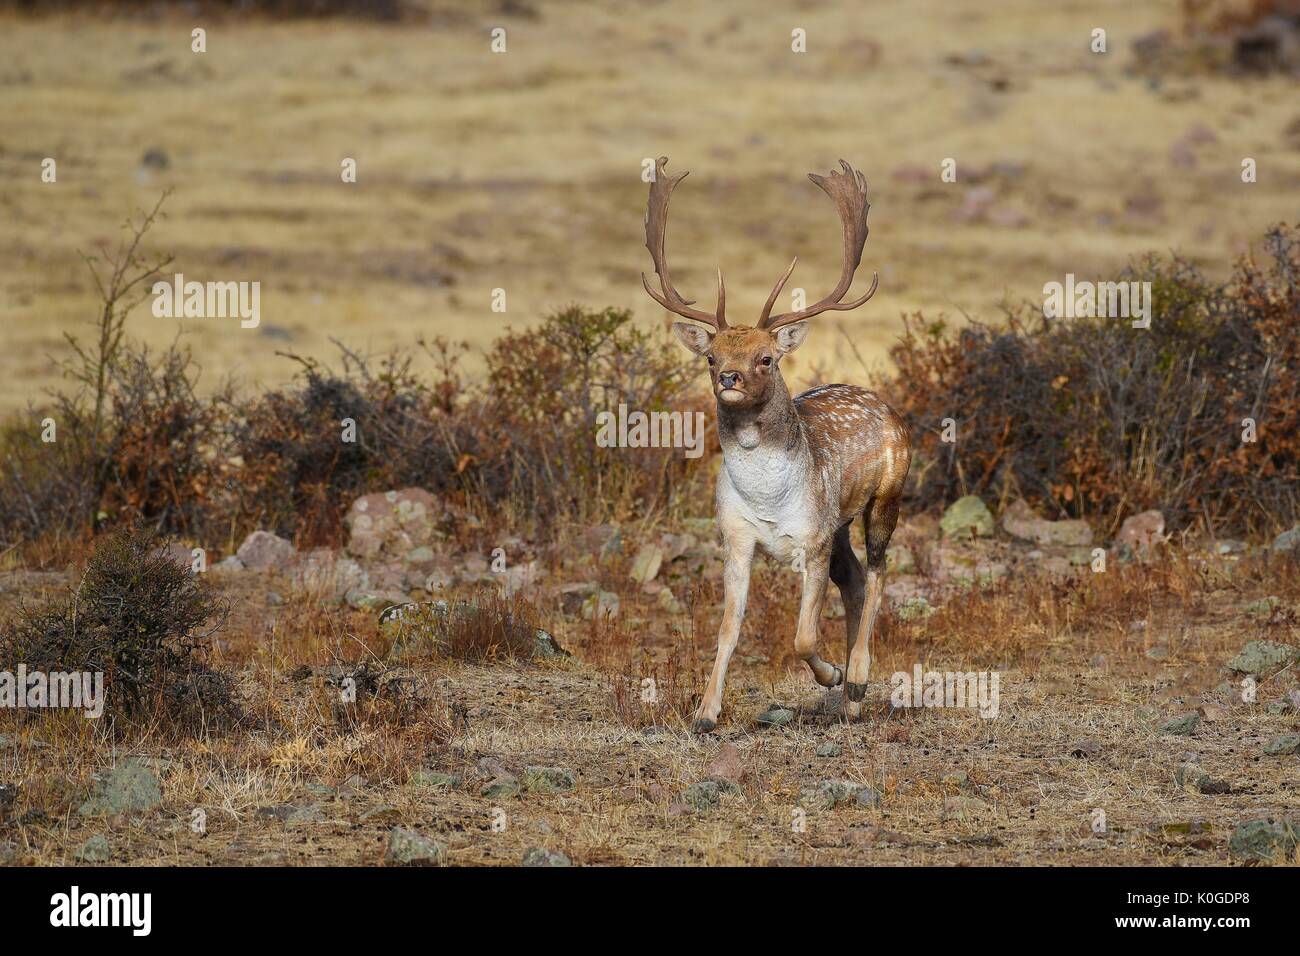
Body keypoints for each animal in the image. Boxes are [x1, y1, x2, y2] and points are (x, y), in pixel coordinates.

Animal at [641, 157, 912, 731]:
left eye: (766, 357)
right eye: (711, 356)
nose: (731, 377)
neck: (768, 500)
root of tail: (882, 402)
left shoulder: (810, 540)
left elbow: (803, 635)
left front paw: (832, 673)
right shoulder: (737, 537)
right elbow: (727, 627)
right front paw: (706, 712)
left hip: (886, 496)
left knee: (879, 573)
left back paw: (857, 678)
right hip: (839, 522)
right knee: (856, 579)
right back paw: (852, 702)